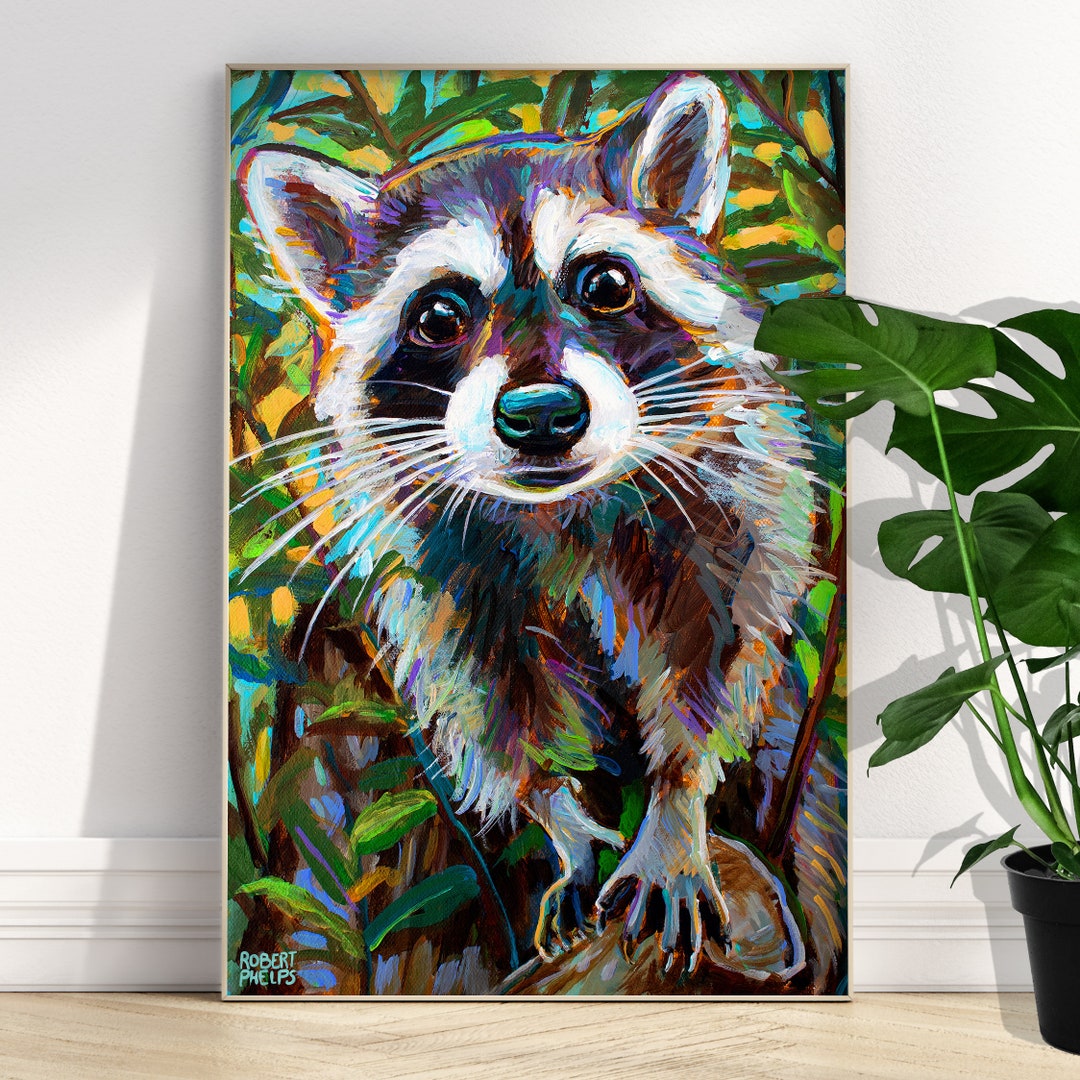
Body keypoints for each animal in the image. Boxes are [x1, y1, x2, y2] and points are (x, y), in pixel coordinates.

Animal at [238, 74, 822, 974]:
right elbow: (493, 705)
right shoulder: (443, 576)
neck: (558, 509)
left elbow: (717, 657)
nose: (542, 414)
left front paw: (676, 802)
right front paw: (564, 820)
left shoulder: (729, 507)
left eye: (606, 285)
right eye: (439, 316)